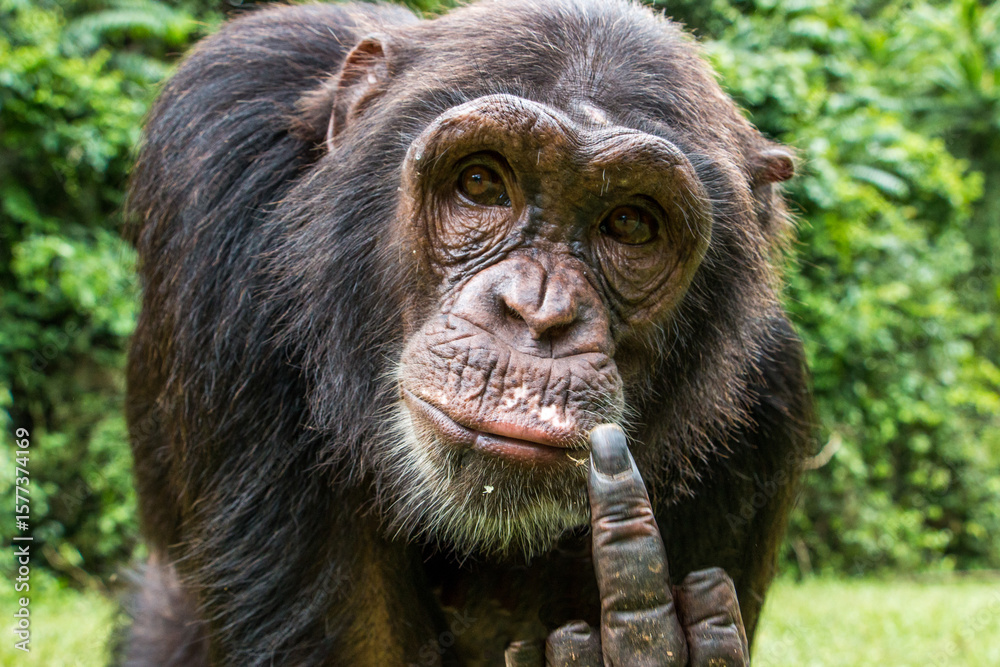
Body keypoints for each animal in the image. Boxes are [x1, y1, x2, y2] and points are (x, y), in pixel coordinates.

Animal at [123, 1, 811, 665]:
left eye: (630, 224)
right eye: (480, 184)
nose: (537, 313)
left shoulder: (764, 415)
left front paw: (644, 643)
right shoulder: (219, 166)